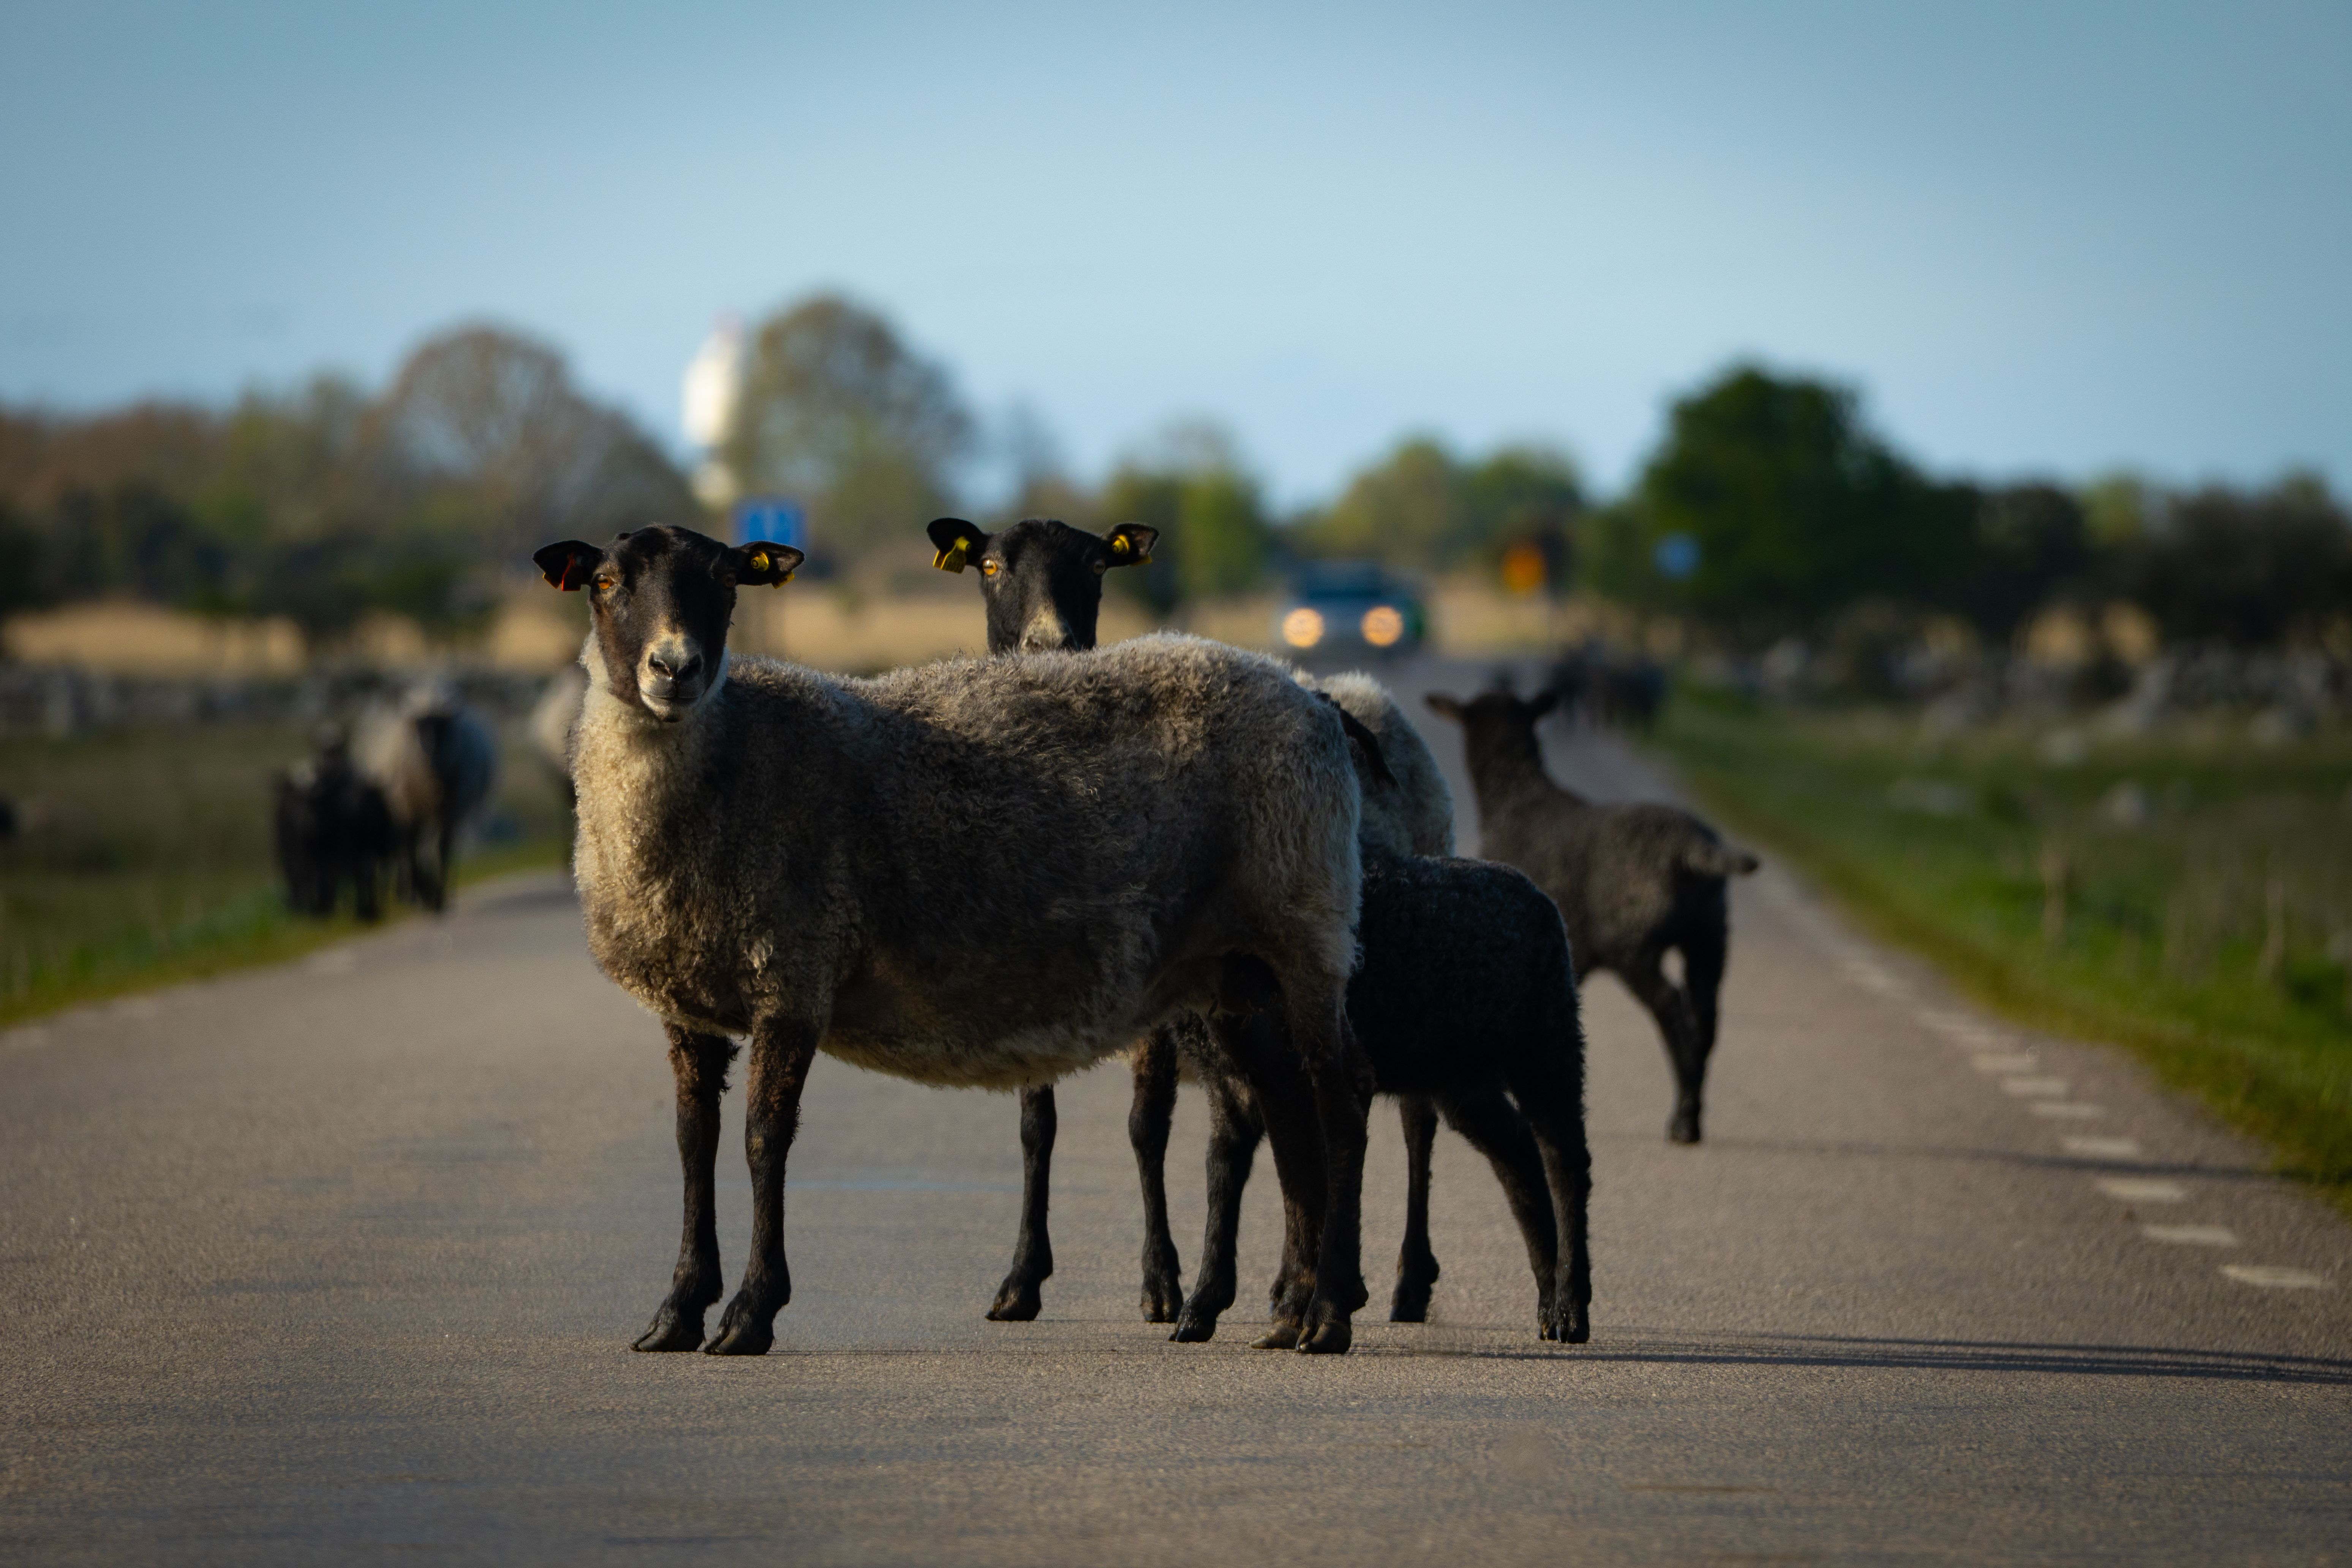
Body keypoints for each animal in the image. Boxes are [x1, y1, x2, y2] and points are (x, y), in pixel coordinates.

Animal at [354, 684, 499, 912]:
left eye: (442, 725)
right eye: (418, 724)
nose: (428, 748)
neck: (430, 778)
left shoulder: (449, 810)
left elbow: (441, 849)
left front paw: (437, 896)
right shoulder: (406, 809)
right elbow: (410, 848)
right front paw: (419, 894)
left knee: (430, 847)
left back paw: (436, 890)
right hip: (401, 809)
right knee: (406, 848)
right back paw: (409, 891)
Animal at [533, 523, 1376, 1356]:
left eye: (725, 581)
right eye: (605, 583)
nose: (675, 667)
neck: (726, 760)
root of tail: (1308, 694)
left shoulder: (793, 975)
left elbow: (762, 1140)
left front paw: (750, 1312)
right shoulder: (687, 1001)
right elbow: (692, 1142)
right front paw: (676, 1312)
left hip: (1308, 927)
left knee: (1340, 1104)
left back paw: (1327, 1315)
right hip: (1237, 968)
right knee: (1288, 1112)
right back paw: (1286, 1314)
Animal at [926, 517, 1587, 1339]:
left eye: (1097, 565)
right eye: (990, 565)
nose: (1051, 645)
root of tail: (1351, 688)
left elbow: (1151, 1127)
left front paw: (1165, 1286)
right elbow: (1037, 1123)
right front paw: (1021, 1282)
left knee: (1417, 1122)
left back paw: (1403, 1283)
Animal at [1428, 686, 1759, 1143]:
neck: (1517, 799)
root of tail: (1693, 851)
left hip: (1633, 942)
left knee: (1671, 1009)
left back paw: (1683, 1122)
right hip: (1710, 936)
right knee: (1706, 1017)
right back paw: (1693, 1112)